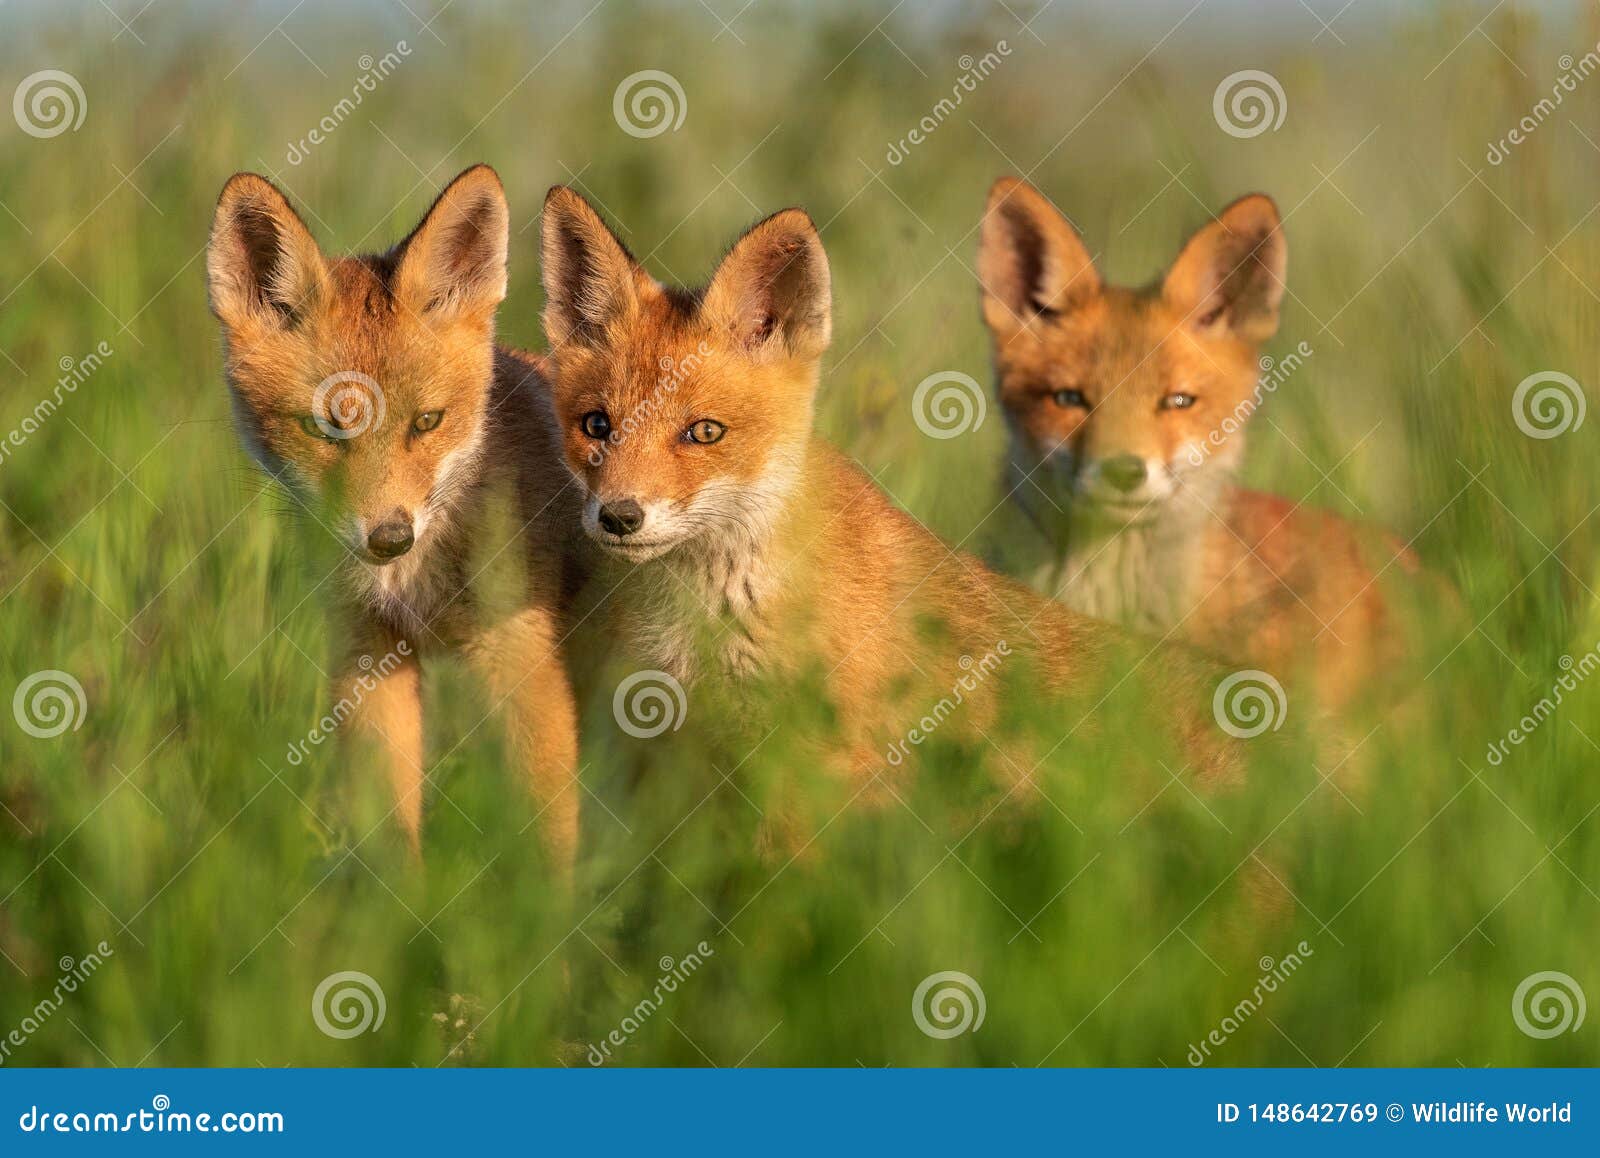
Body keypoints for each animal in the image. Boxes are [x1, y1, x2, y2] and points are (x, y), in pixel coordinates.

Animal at [205, 165, 585, 868]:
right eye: (327, 426)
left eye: (428, 423)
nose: (389, 539)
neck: (416, 585)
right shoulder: (366, 654)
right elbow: (387, 837)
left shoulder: (522, 659)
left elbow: (547, 844)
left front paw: (551, 903)